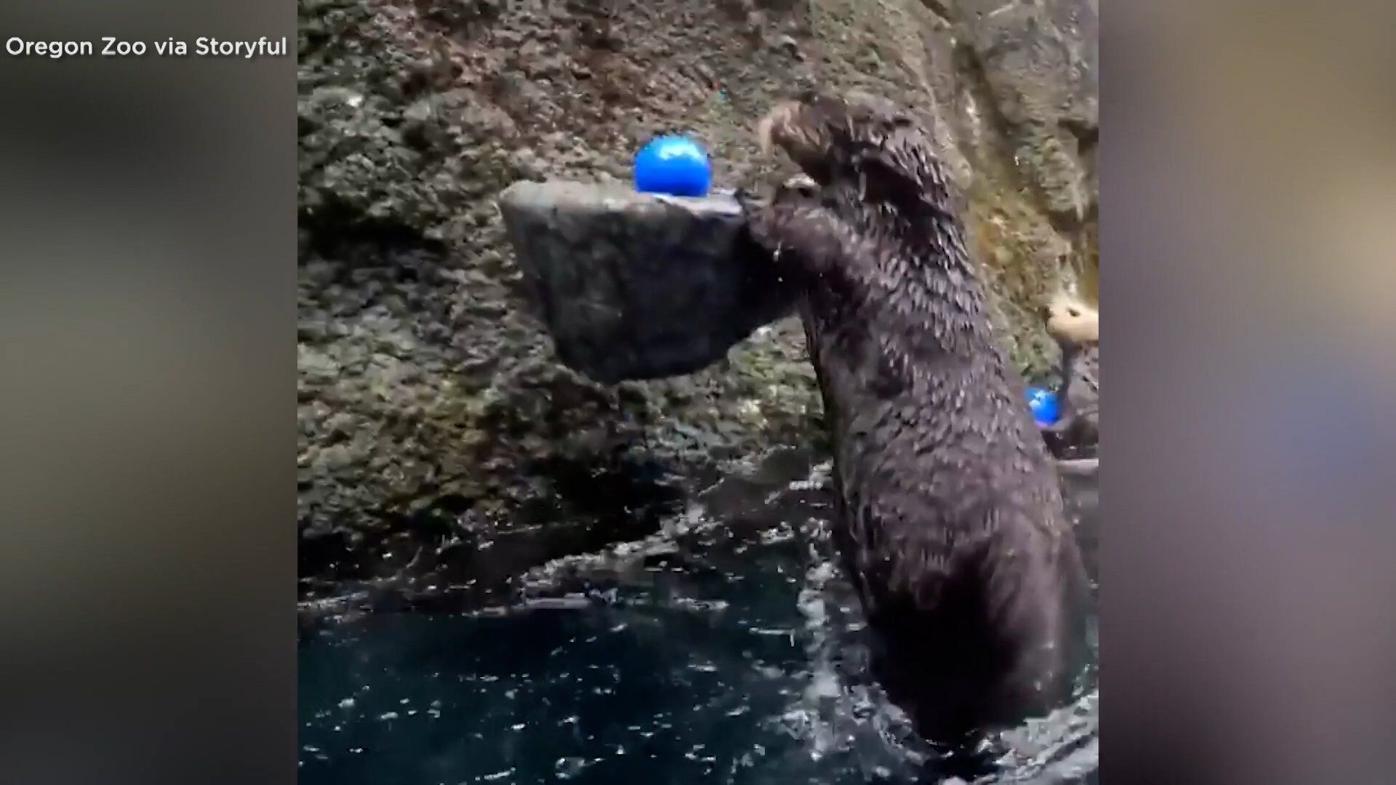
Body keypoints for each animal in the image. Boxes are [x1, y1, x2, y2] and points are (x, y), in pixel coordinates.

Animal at [741, 92, 1089, 744]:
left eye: (819, 101)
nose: (783, 107)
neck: (921, 254)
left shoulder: (883, 266)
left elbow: (823, 241)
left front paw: (774, 201)